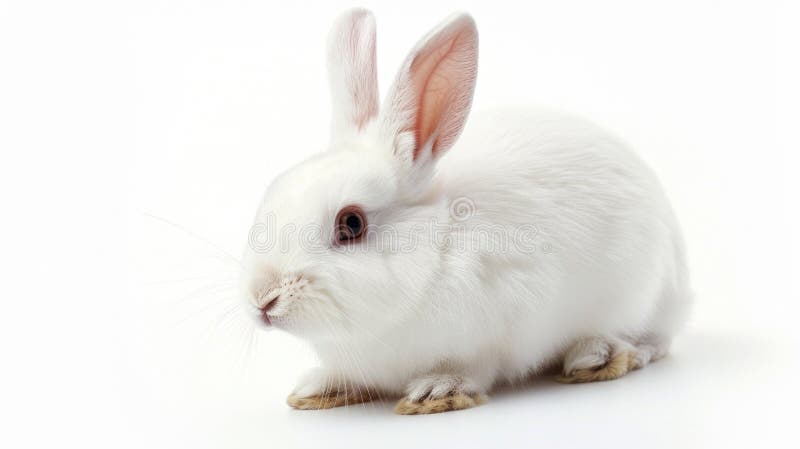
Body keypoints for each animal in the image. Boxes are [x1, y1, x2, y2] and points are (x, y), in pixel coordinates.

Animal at [240, 8, 692, 415]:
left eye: (351, 223)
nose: (263, 299)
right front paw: (315, 389)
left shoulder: (495, 330)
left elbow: (473, 369)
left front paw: (437, 391)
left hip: (647, 293)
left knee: (655, 341)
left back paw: (597, 355)